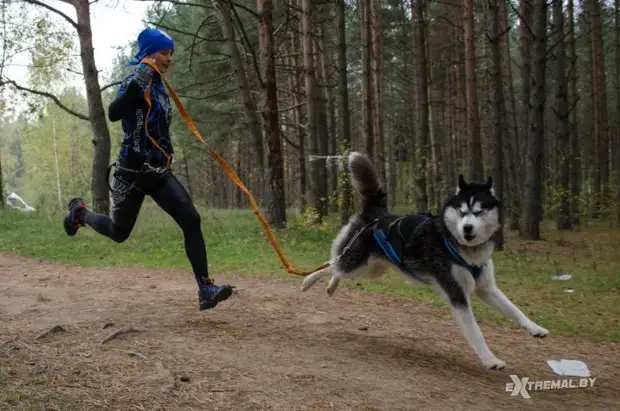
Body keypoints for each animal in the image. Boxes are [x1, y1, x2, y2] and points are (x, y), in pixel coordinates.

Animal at [300, 151, 548, 370]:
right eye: (461, 211)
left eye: (478, 211)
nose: (467, 228)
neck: (461, 247)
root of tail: (377, 214)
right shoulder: (456, 293)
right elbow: (475, 331)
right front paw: (490, 359)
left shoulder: (486, 288)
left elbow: (513, 309)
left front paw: (535, 328)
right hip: (356, 264)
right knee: (331, 265)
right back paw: (309, 281)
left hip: (371, 270)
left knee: (335, 268)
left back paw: (331, 286)